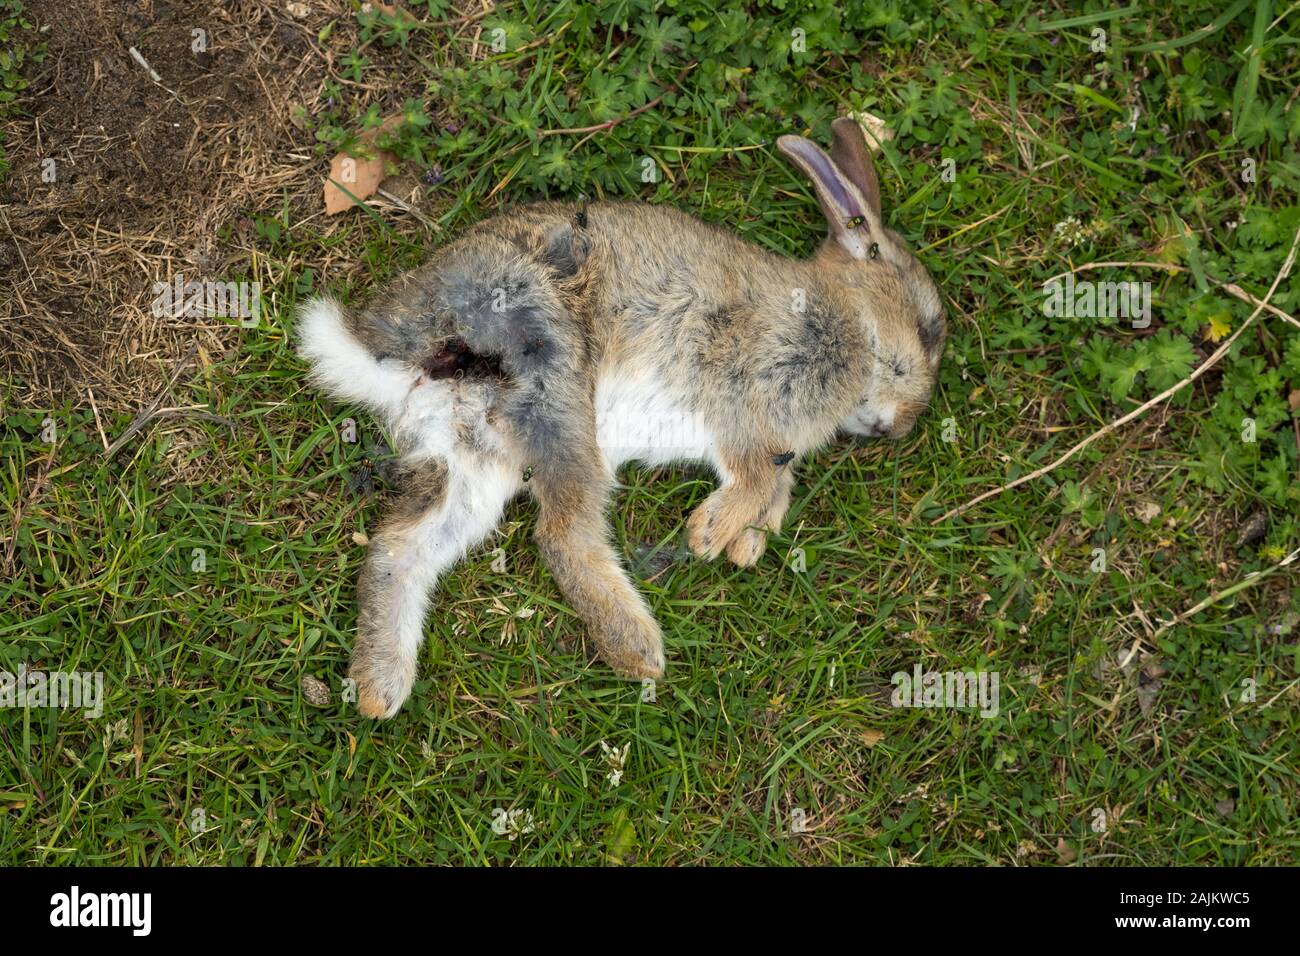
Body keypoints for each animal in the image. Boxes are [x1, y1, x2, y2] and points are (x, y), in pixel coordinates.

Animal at [298, 117, 946, 719]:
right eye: (929, 330)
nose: (902, 426)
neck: (851, 319)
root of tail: (399, 350)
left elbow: (774, 485)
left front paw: (746, 544)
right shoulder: (742, 390)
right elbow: (756, 474)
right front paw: (710, 535)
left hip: (474, 456)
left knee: (401, 546)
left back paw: (379, 688)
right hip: (554, 382)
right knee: (559, 535)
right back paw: (639, 648)